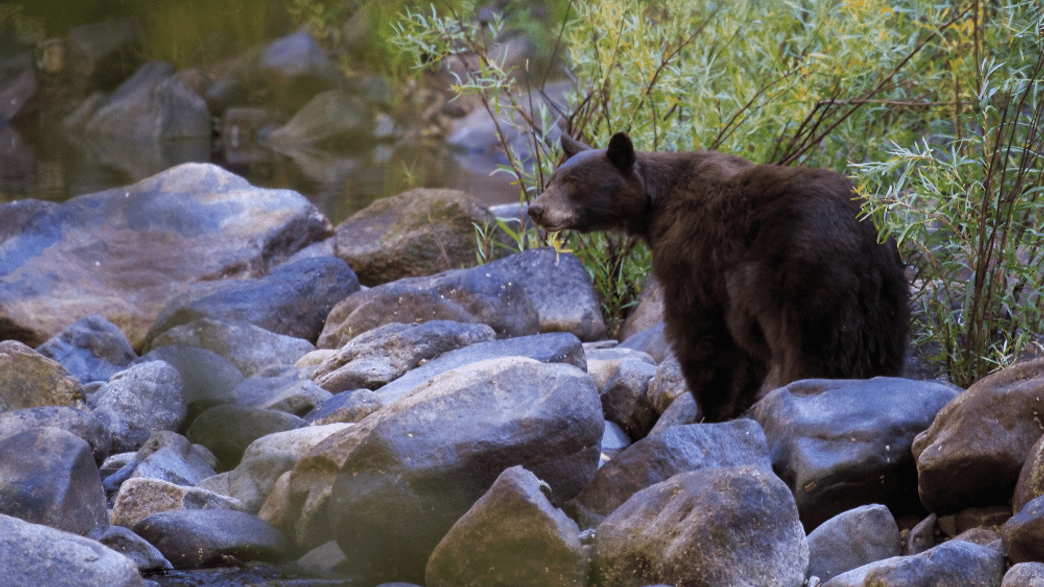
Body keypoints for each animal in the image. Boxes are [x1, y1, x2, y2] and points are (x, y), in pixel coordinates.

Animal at [528, 132, 910, 422]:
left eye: (573, 182)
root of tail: (861, 239)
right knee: (881, 348)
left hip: (811, 283)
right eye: (554, 177)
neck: (658, 204)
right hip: (885, 295)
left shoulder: (694, 256)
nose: (536, 209)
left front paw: (709, 408)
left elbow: (701, 331)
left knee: (815, 346)